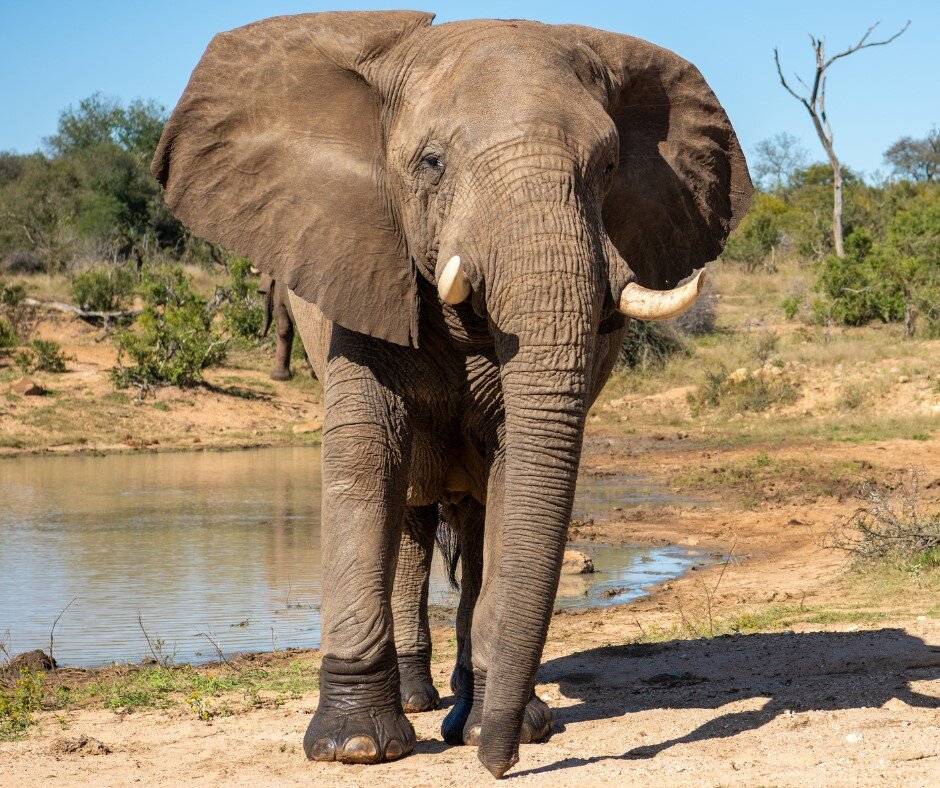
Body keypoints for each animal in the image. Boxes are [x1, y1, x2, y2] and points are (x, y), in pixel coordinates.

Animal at [152, 11, 751, 778]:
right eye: (431, 163)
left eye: (611, 165)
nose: (500, 765)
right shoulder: (358, 265)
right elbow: (365, 459)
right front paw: (354, 748)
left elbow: (512, 470)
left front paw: (509, 728)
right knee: (411, 512)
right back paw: (418, 700)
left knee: (472, 520)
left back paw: (466, 706)